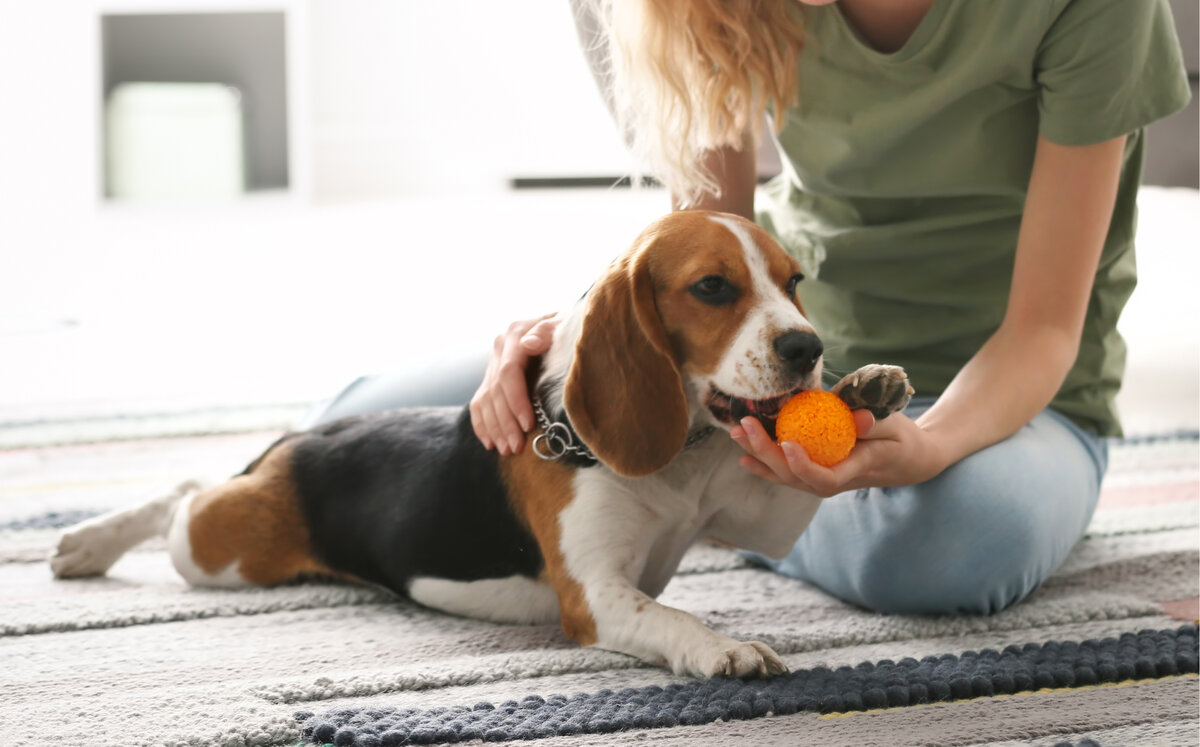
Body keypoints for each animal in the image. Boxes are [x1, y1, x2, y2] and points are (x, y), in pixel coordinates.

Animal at [46, 208, 907, 677]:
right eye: (713, 287)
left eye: (792, 282)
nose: (807, 347)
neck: (686, 455)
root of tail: (305, 438)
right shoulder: (597, 596)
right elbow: (672, 618)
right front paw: (723, 648)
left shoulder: (760, 515)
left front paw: (867, 389)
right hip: (222, 551)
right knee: (181, 498)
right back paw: (89, 541)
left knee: (192, 483)